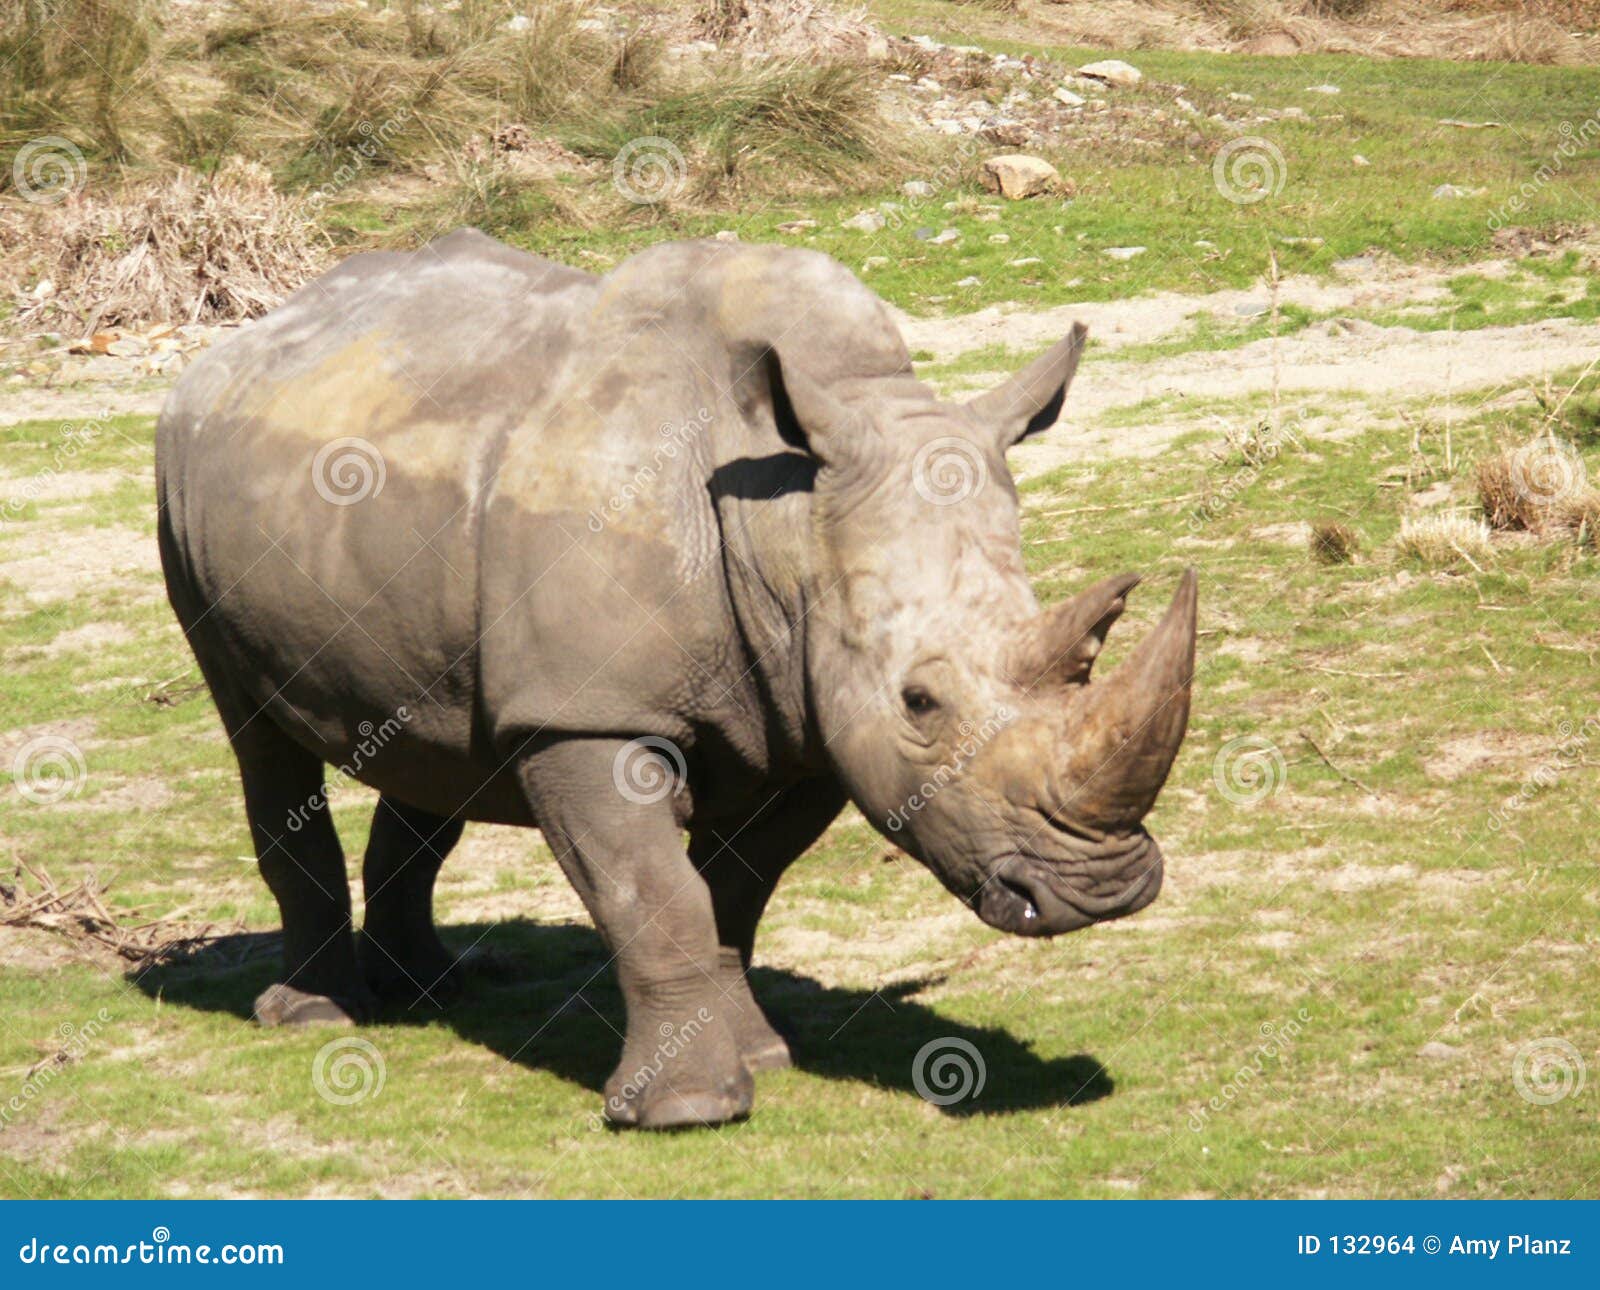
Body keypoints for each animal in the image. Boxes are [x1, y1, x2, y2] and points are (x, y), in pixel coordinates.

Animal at [156, 229, 1196, 1128]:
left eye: (1087, 660)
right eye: (920, 703)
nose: (1100, 893)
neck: (783, 524)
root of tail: (242, 339)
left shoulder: (805, 712)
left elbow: (733, 891)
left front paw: (763, 1054)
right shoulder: (586, 715)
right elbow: (652, 895)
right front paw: (688, 1111)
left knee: (431, 728)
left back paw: (432, 985)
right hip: (179, 494)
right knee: (258, 736)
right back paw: (319, 1014)